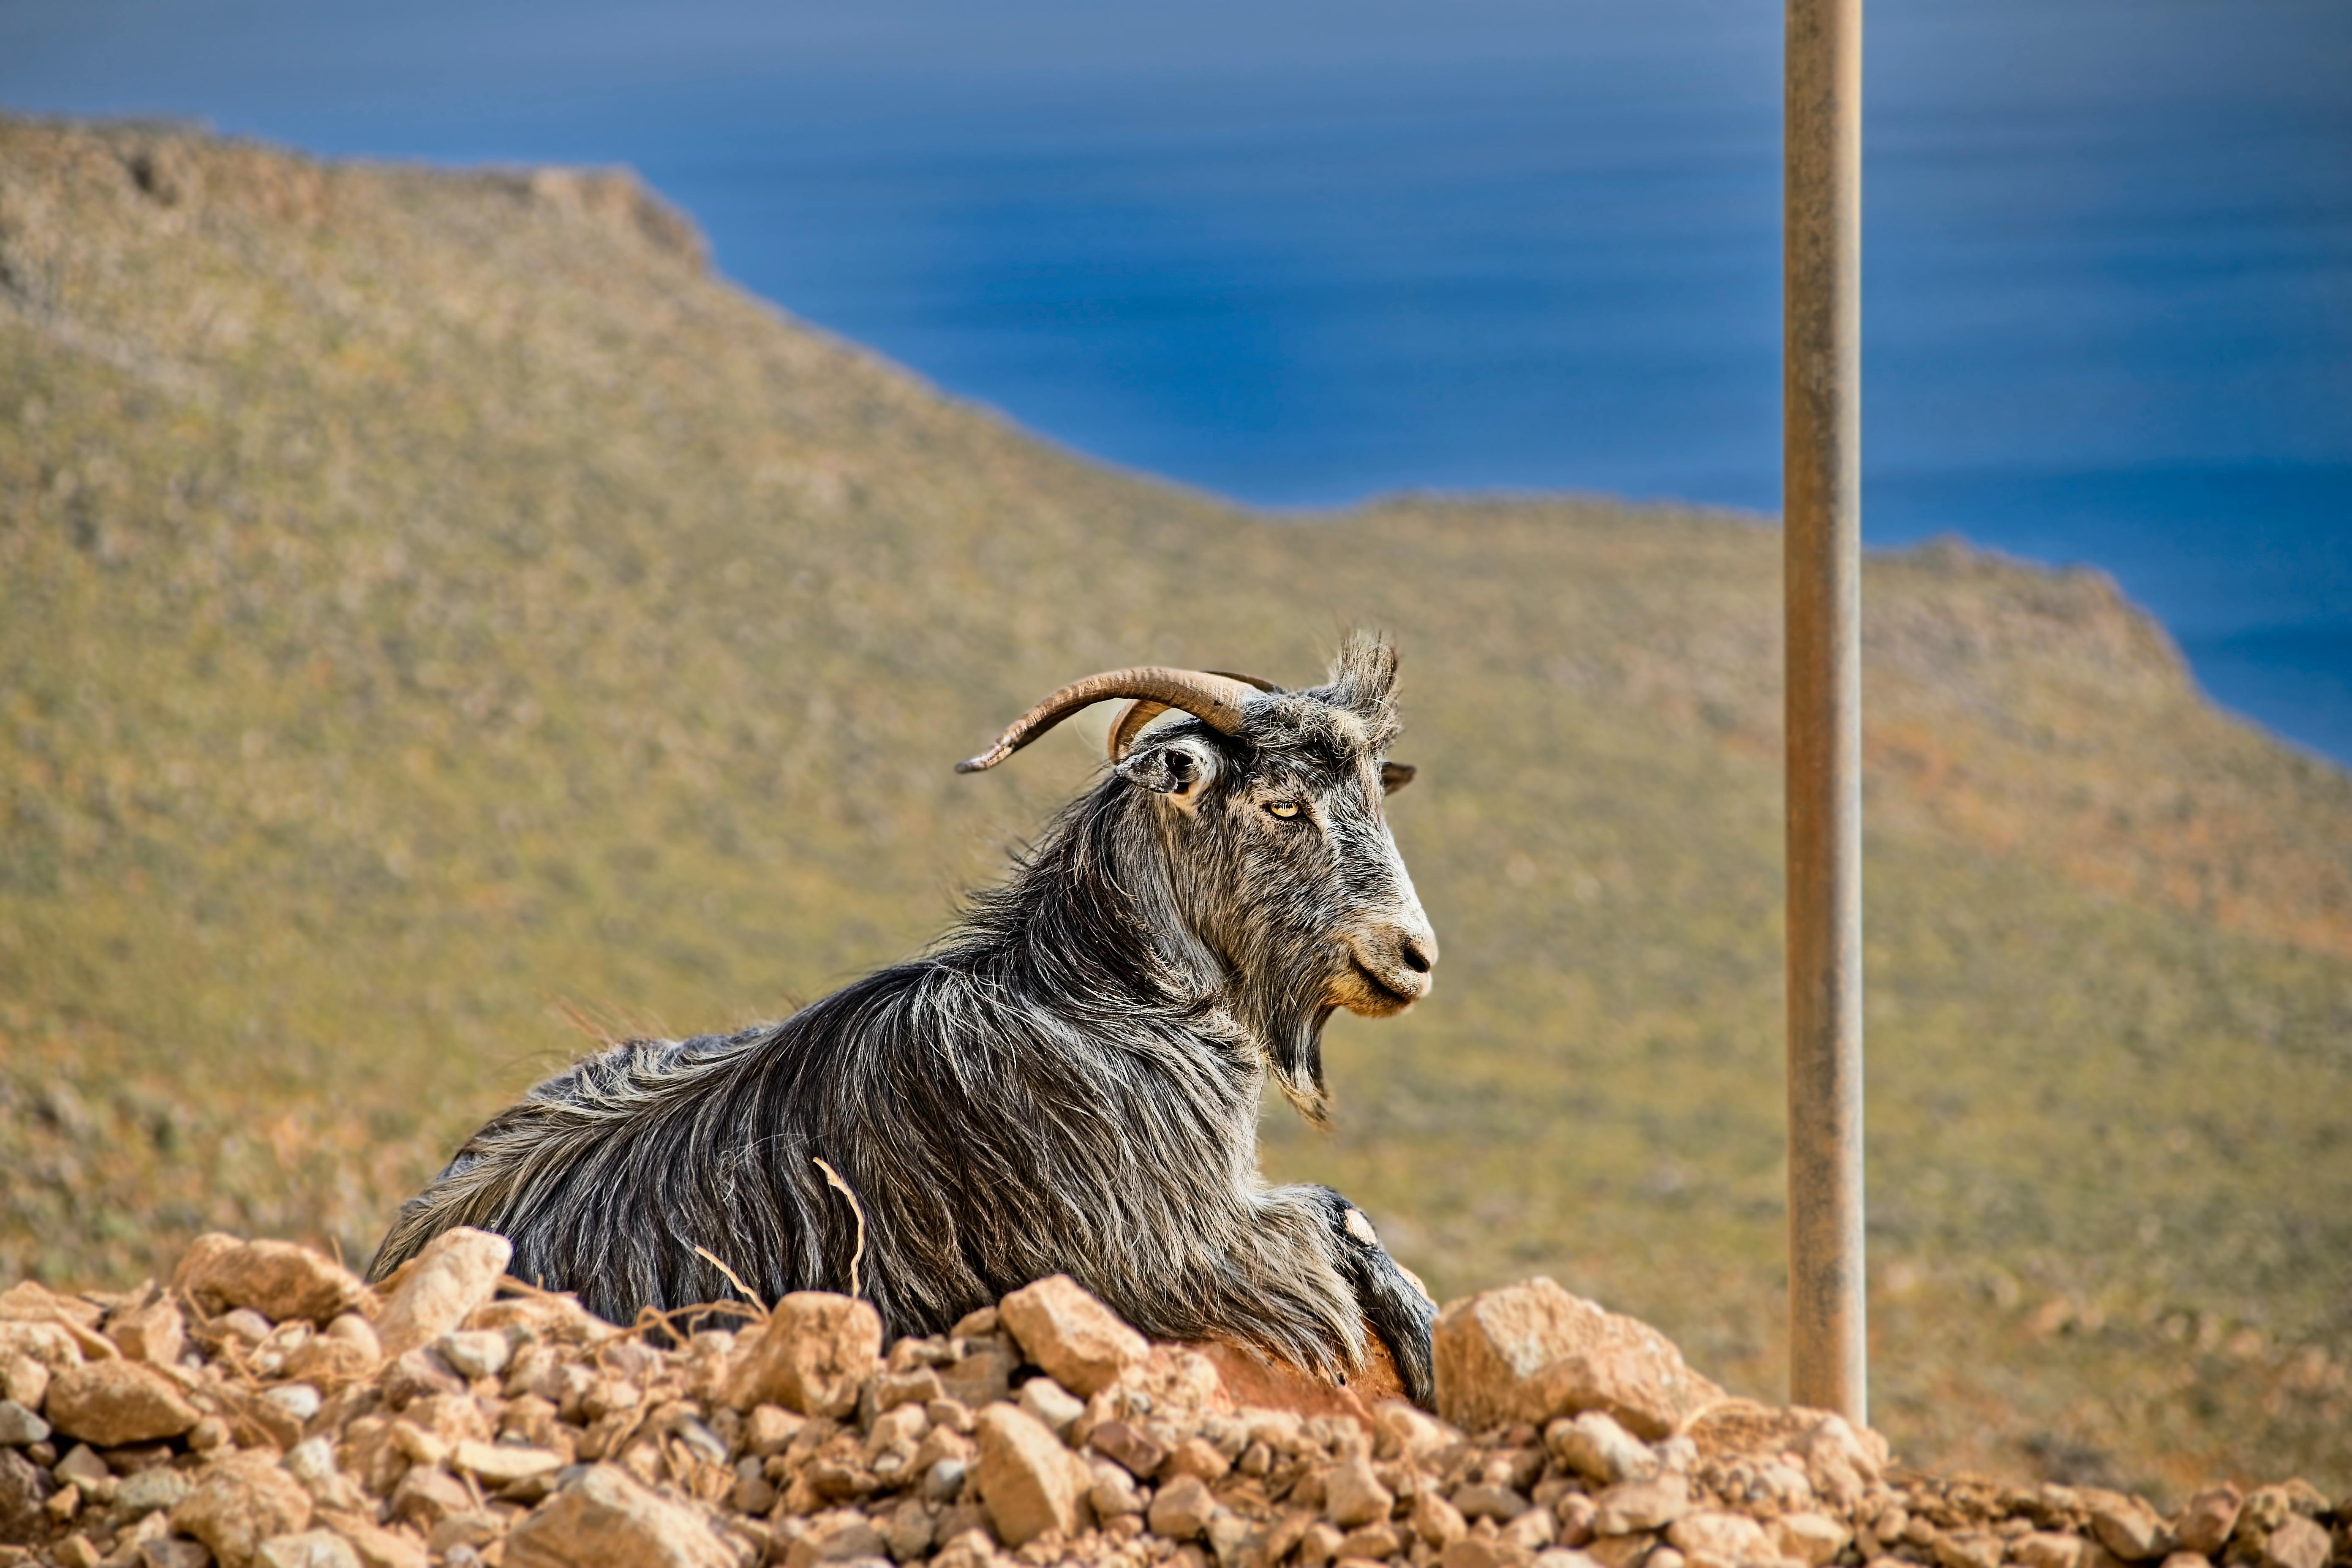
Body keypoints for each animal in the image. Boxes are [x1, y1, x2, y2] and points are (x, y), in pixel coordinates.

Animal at [368, 632, 1442, 1402]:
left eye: (1370, 799)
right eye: (1282, 805)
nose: (1412, 956)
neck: (1100, 1000)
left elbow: (1340, 1211)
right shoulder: (1175, 1253)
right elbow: (1327, 1222)